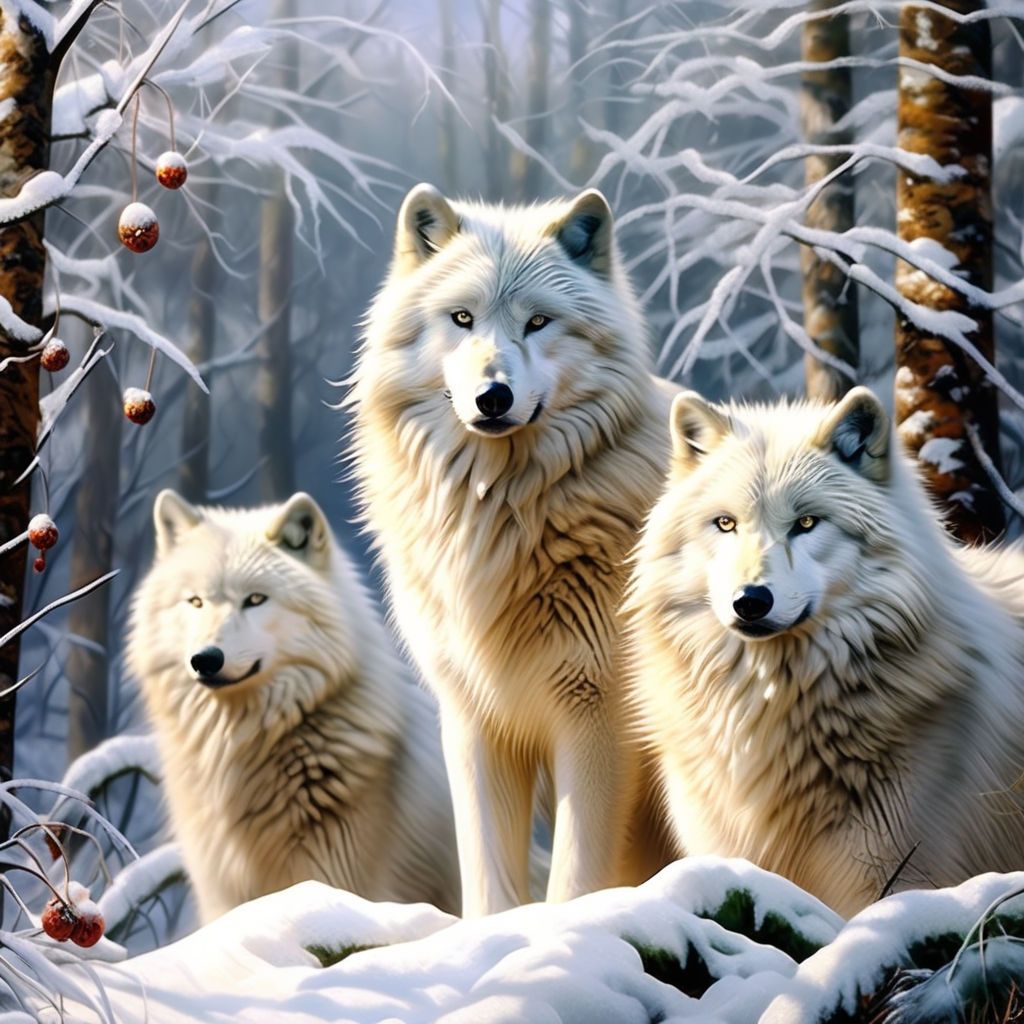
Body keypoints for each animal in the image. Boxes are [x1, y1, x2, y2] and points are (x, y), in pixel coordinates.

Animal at [349, 183, 678, 916]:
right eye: (462, 318)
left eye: (538, 323)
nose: (492, 396)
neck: (498, 520)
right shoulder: (476, 719)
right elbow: (489, 880)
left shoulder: (597, 718)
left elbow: (574, 879)